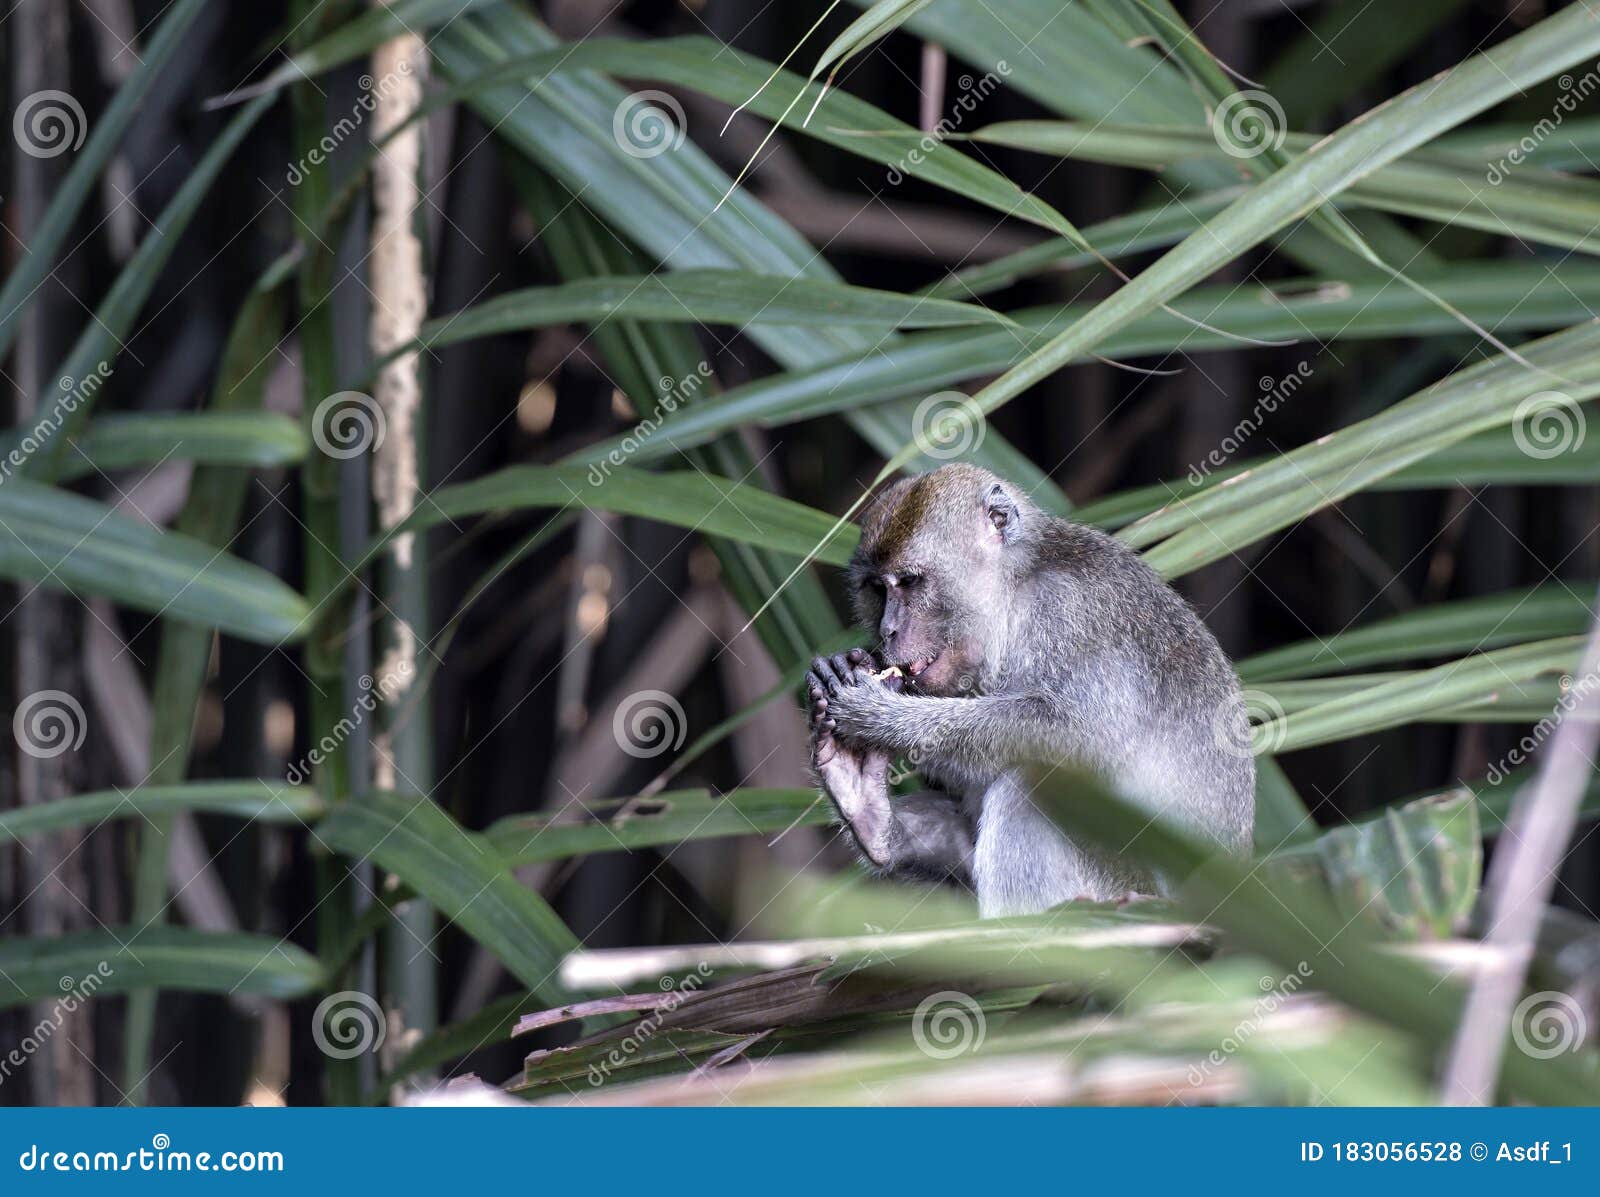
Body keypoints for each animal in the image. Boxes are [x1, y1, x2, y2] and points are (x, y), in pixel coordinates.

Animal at [805, 463, 1254, 917]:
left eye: (910, 582)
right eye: (877, 589)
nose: (888, 630)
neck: (1015, 592)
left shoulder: (1068, 613)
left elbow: (1083, 733)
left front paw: (882, 717)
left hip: (1121, 890)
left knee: (1032, 786)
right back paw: (871, 819)